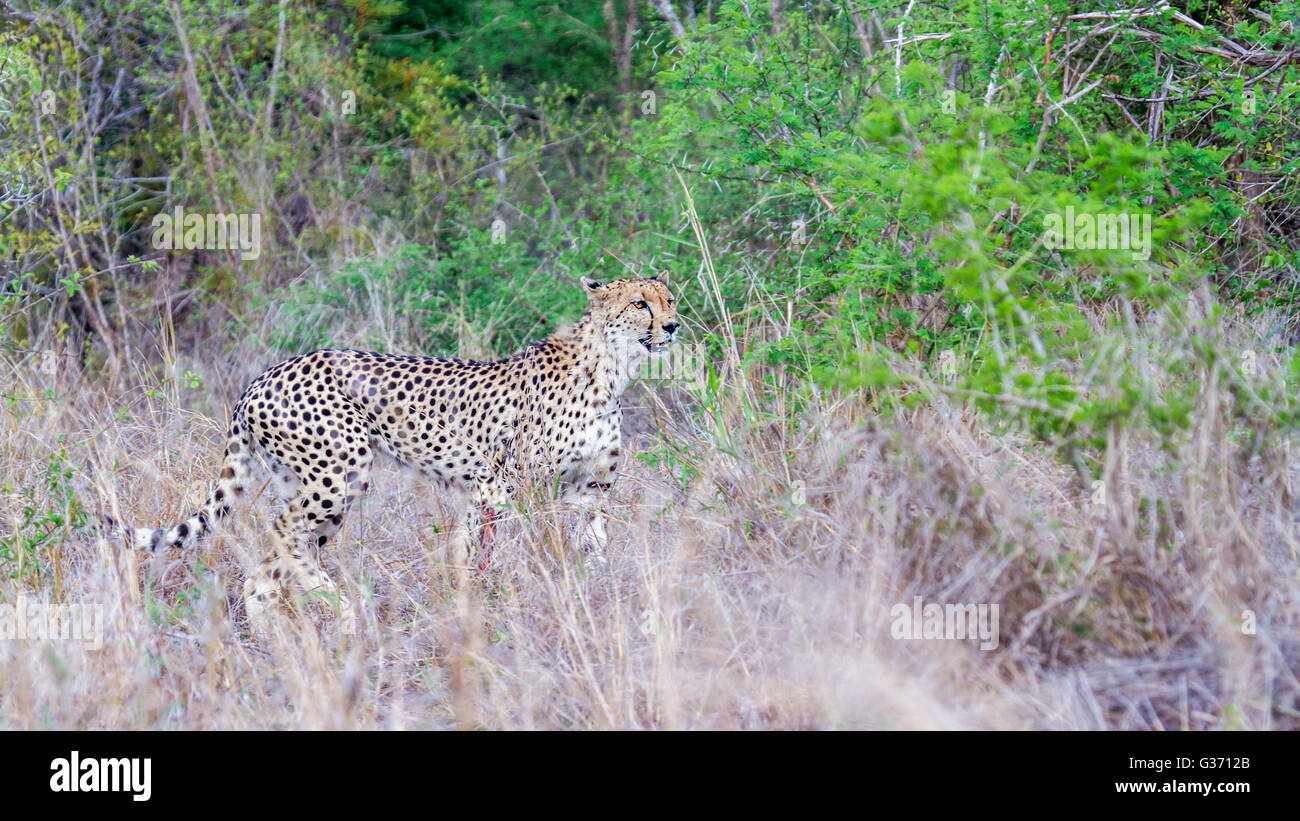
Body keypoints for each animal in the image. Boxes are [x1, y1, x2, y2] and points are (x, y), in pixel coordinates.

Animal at [110, 273, 679, 634]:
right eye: (640, 304)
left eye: (669, 299)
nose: (673, 326)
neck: (612, 368)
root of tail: (264, 374)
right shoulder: (503, 486)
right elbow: (494, 551)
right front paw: (491, 602)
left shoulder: (591, 491)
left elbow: (591, 549)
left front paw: (603, 601)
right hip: (337, 475)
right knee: (280, 529)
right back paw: (340, 606)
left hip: (311, 484)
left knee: (272, 560)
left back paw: (275, 633)